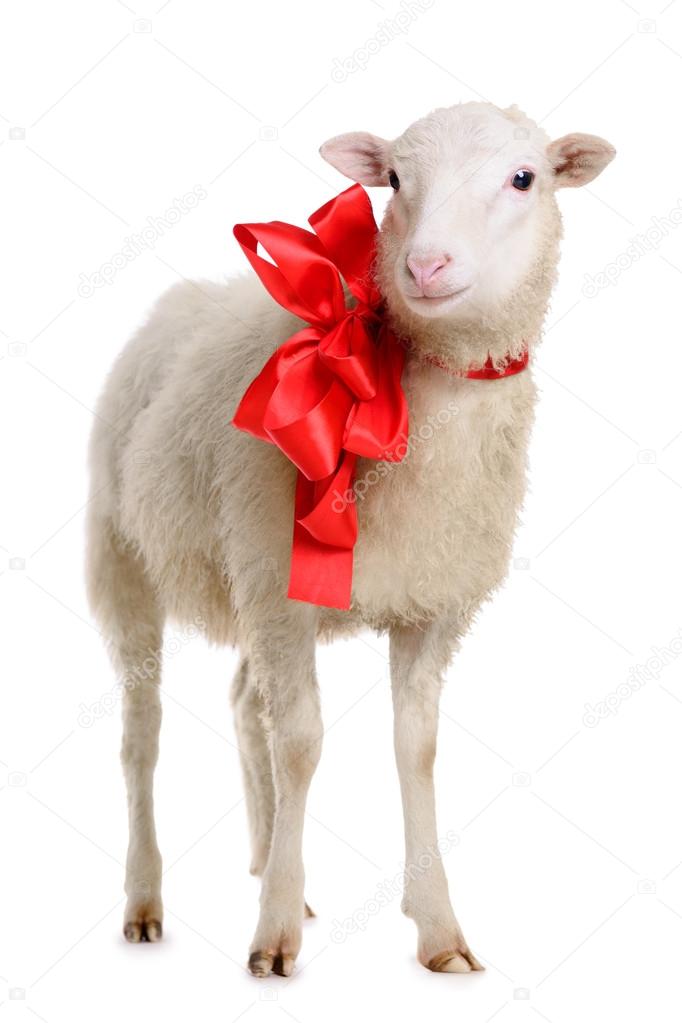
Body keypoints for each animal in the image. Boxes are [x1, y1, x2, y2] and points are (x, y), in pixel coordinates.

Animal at [86, 101, 615, 976]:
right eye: (394, 178)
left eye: (524, 177)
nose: (426, 266)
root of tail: (182, 298)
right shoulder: (281, 592)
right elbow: (301, 745)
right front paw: (273, 939)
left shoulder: (428, 603)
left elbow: (415, 749)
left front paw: (437, 928)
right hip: (125, 557)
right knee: (140, 739)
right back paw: (143, 900)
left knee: (244, 704)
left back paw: (272, 859)